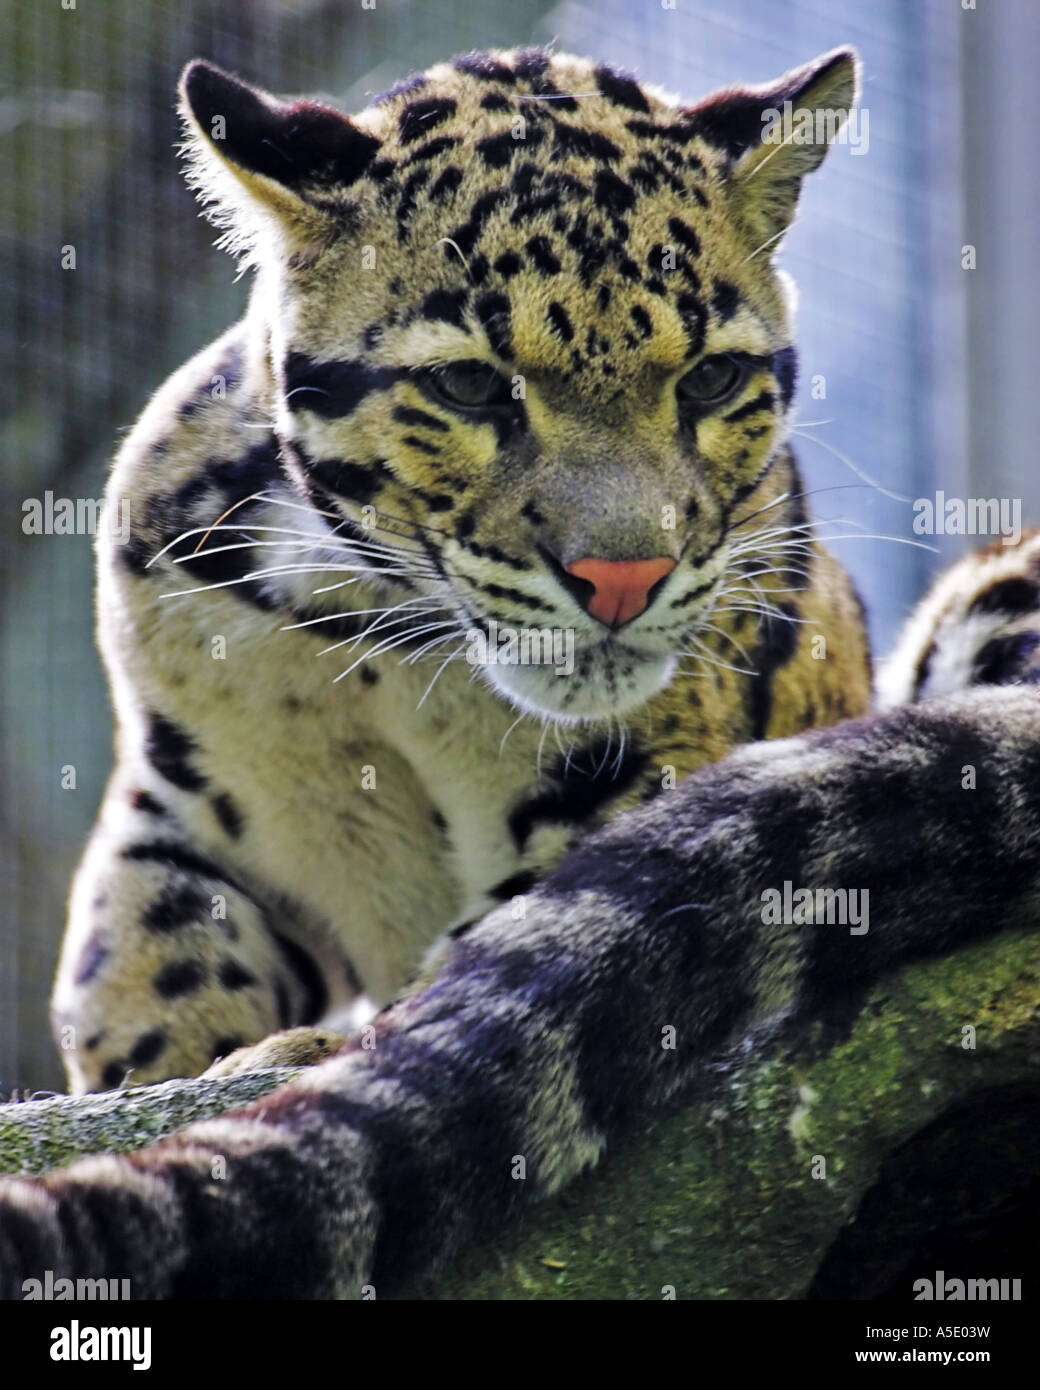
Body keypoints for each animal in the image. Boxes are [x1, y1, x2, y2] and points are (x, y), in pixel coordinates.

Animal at [2, 45, 1039, 1299]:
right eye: (466, 387)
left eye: (708, 382)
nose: (622, 577)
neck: (384, 638)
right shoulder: (177, 807)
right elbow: (147, 963)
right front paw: (189, 1055)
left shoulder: (636, 798)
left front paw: (304, 1051)